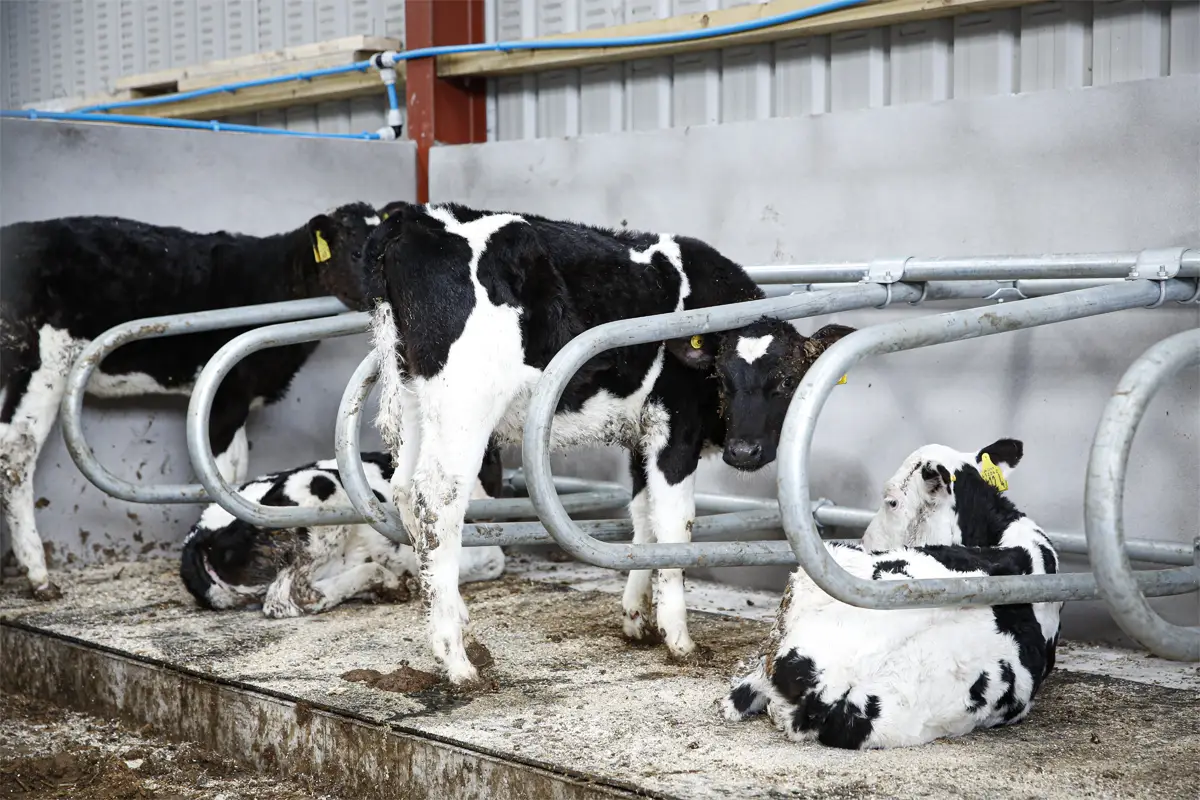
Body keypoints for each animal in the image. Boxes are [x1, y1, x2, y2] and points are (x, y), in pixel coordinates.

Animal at [0, 202, 386, 599]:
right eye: (355, 253)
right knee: (14, 454)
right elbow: (222, 473)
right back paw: (39, 576)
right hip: (40, 363)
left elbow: (234, 471)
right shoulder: (225, 395)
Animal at [362, 201, 856, 685]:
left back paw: (454, 622)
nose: (743, 452)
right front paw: (678, 638)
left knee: (405, 490)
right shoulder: (675, 427)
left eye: (787, 380)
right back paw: (455, 659)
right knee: (437, 500)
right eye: (722, 377)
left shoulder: (641, 433)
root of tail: (413, 217)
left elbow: (642, 518)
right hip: (464, 403)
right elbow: (676, 524)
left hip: (417, 399)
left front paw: (636, 616)